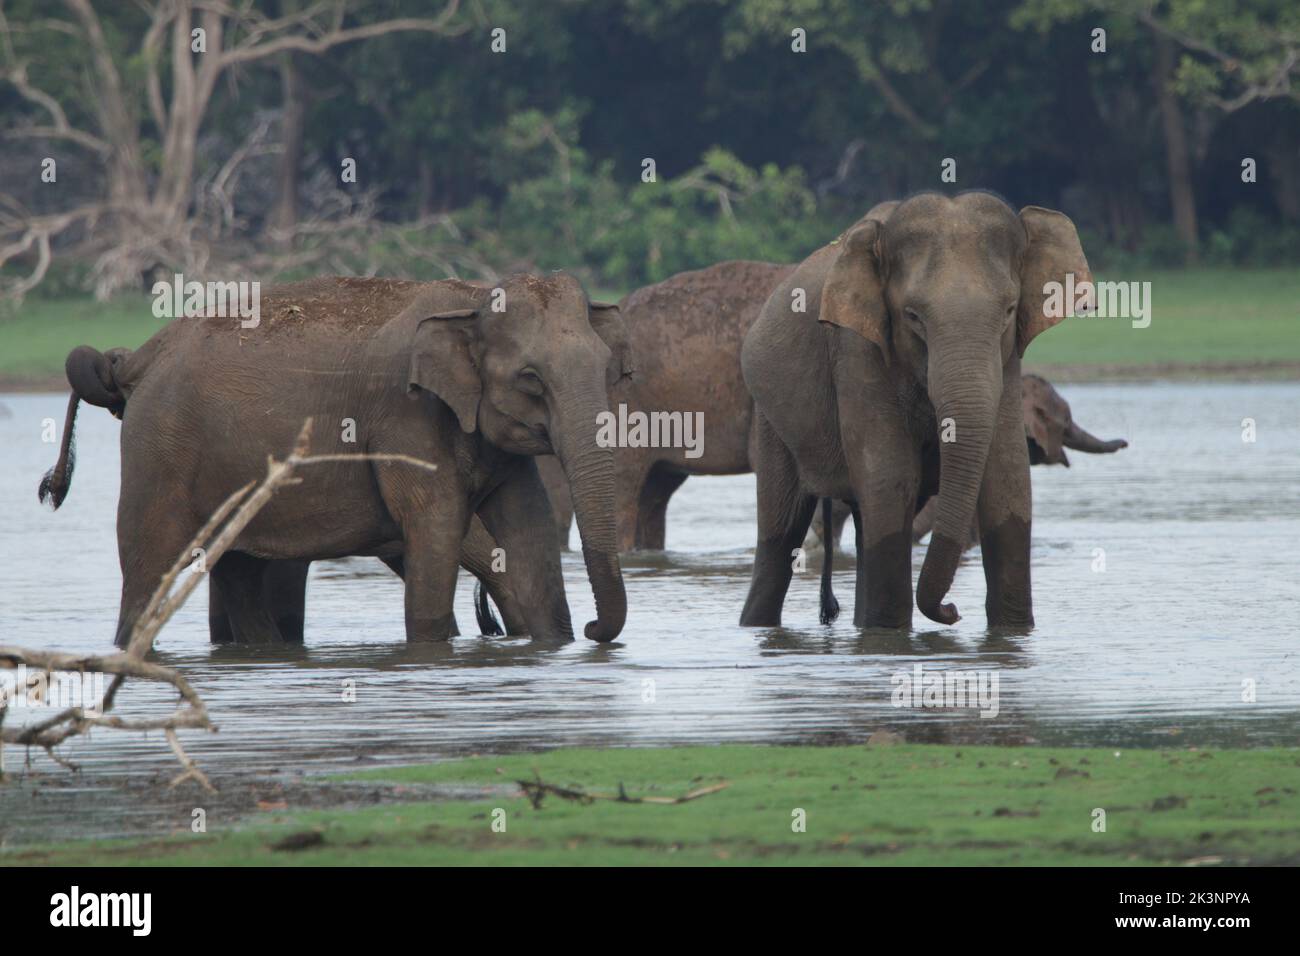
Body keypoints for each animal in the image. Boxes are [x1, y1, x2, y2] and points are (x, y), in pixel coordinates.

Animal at [39, 273, 632, 646]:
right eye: (531, 379)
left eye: (609, 366)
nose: (594, 630)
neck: (475, 295)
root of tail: (139, 357)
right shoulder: (405, 416)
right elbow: (436, 527)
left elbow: (529, 529)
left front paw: (557, 642)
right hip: (158, 450)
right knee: (150, 566)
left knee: (236, 569)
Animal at [739, 191, 1093, 629]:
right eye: (912, 316)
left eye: (1010, 311)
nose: (953, 610)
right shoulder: (858, 349)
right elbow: (890, 481)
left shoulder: (1009, 361)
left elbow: (1007, 482)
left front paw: (1011, 633)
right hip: (770, 419)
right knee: (780, 538)